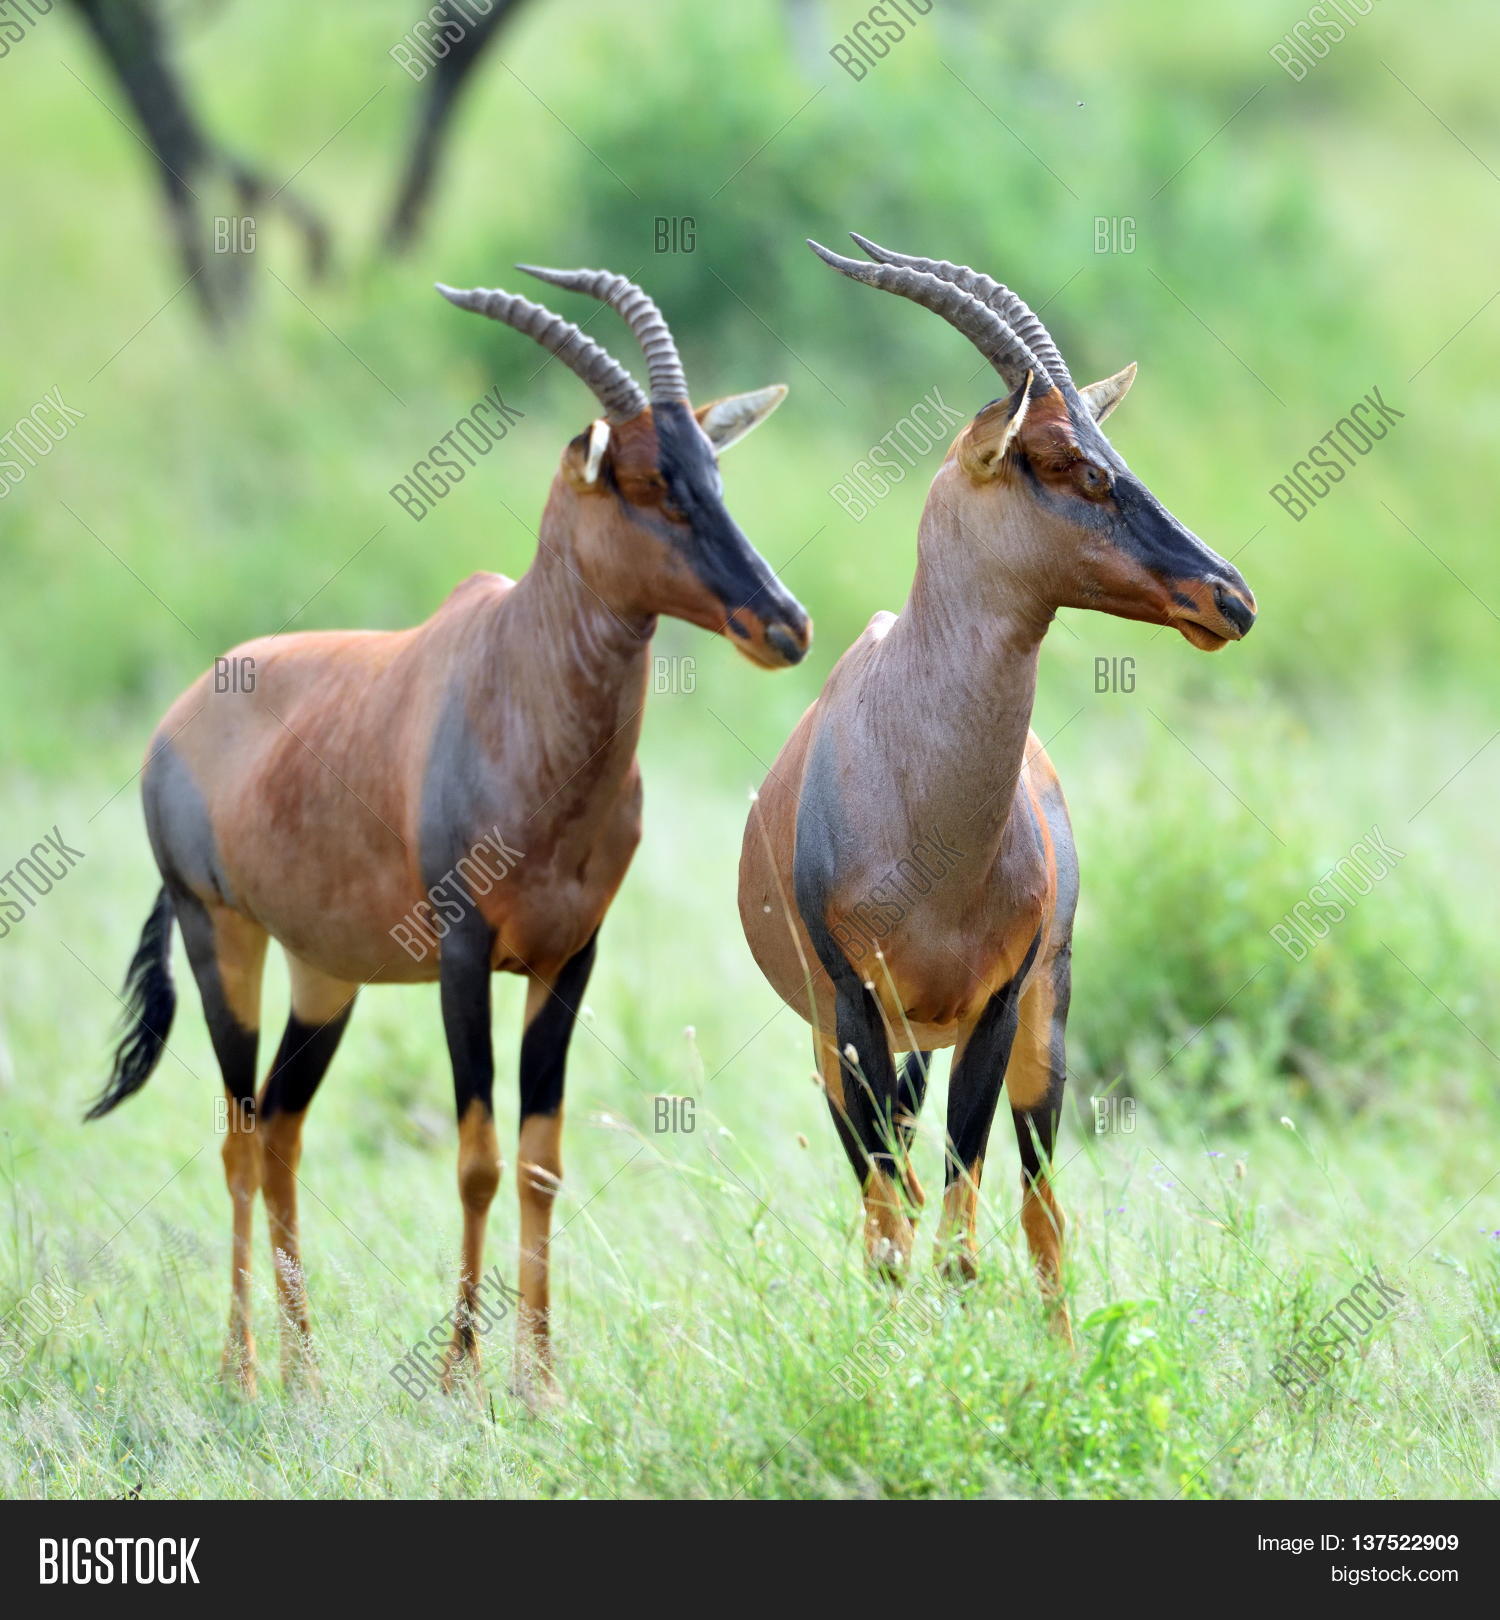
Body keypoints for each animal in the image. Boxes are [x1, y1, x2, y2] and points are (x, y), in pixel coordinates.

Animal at [89, 264, 810, 1401]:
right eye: (646, 480)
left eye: (715, 470)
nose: (785, 624)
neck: (516, 684)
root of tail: (182, 714)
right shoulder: (466, 955)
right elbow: (475, 1157)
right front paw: (461, 1376)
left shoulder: (569, 959)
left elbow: (541, 1158)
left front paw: (541, 1381)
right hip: (221, 939)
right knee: (240, 1135)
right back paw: (241, 1371)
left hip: (325, 975)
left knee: (283, 1129)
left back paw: (306, 1373)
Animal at [739, 235, 1256, 1341]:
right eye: (1067, 463)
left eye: (1114, 451)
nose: (1229, 596)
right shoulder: (854, 1013)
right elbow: (895, 1234)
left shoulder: (997, 1007)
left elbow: (963, 1241)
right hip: (856, 1041)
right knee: (894, 1200)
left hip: (1041, 1027)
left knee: (1038, 1211)